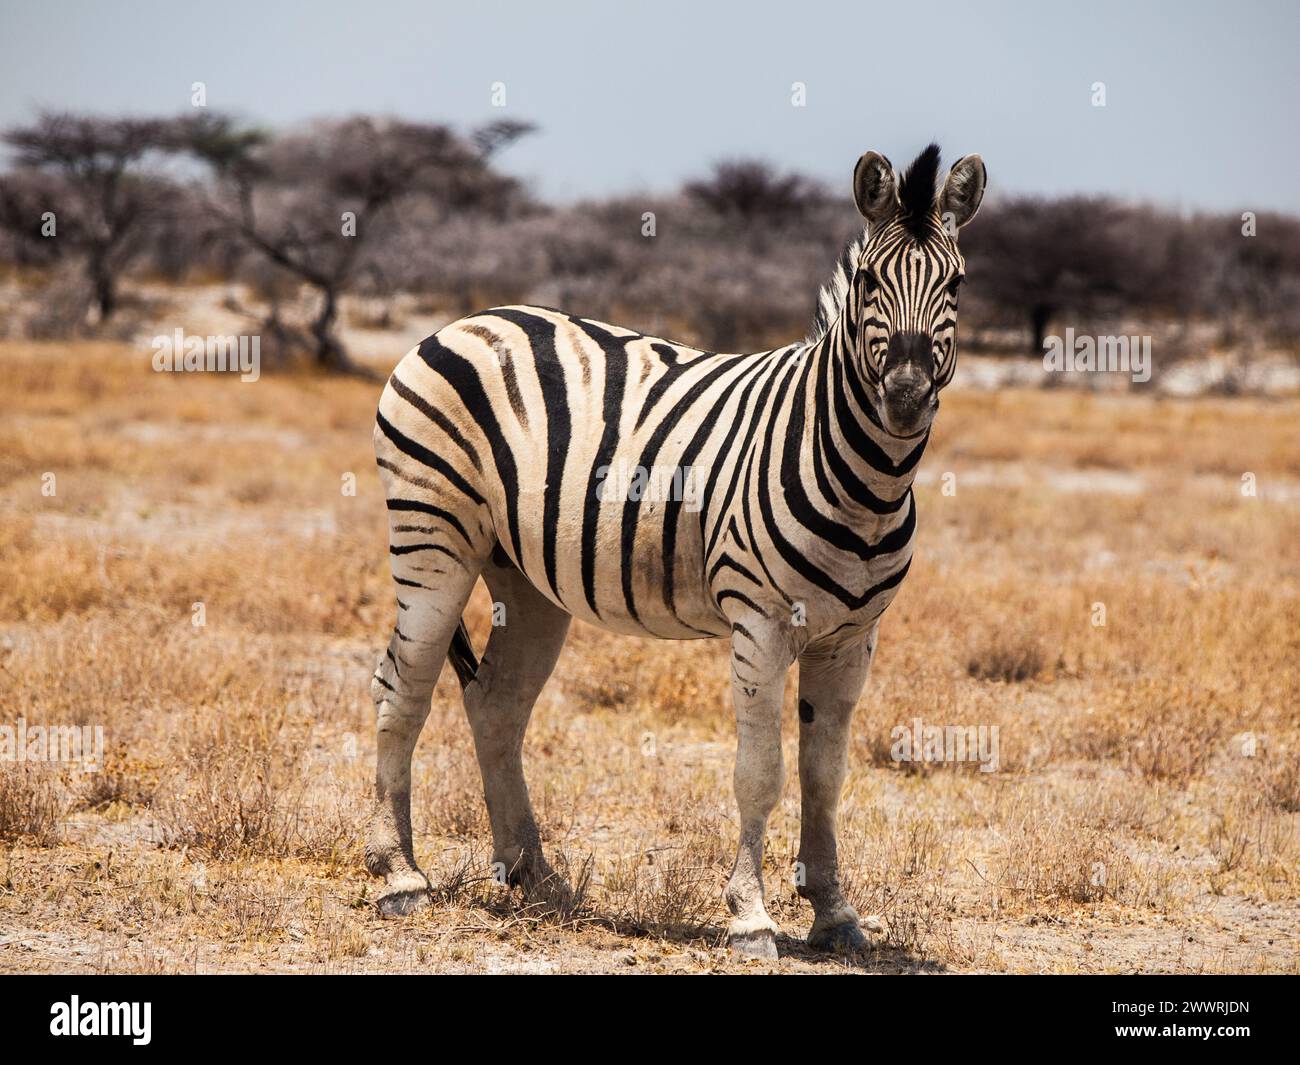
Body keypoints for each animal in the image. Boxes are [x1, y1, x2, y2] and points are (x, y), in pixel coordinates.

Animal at [366, 144, 986, 959]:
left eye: (956, 284)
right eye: (870, 282)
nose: (907, 397)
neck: (865, 479)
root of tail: (465, 320)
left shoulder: (853, 636)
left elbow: (826, 774)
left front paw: (834, 912)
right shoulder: (760, 621)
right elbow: (762, 771)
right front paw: (751, 917)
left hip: (524, 577)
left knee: (495, 702)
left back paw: (535, 876)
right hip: (432, 535)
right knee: (400, 689)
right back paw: (399, 876)